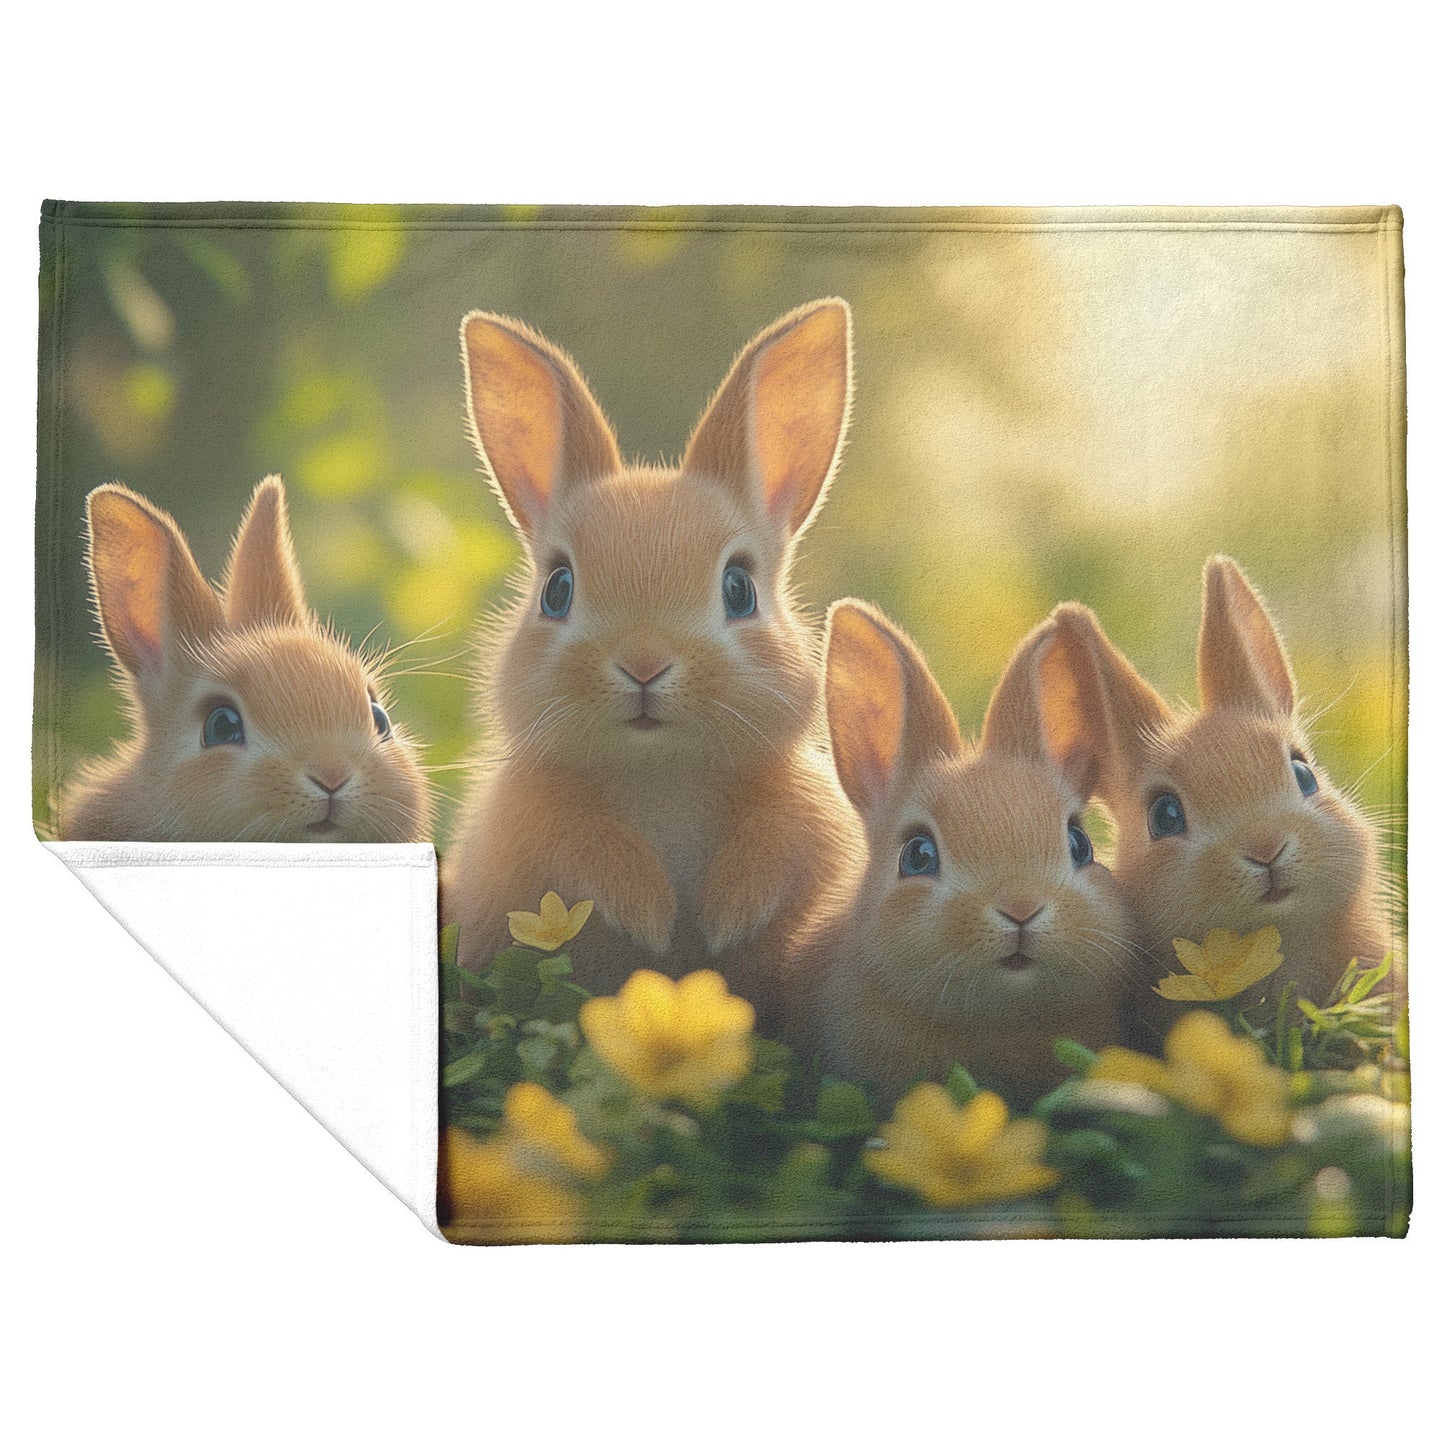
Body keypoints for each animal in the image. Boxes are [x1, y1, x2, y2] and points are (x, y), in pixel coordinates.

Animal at [441, 299, 860, 1025]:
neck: (660, 772)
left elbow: (780, 838)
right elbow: (583, 844)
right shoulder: (536, 819)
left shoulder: (810, 814)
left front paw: (723, 915)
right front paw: (650, 914)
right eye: (557, 589)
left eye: (739, 589)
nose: (643, 664)